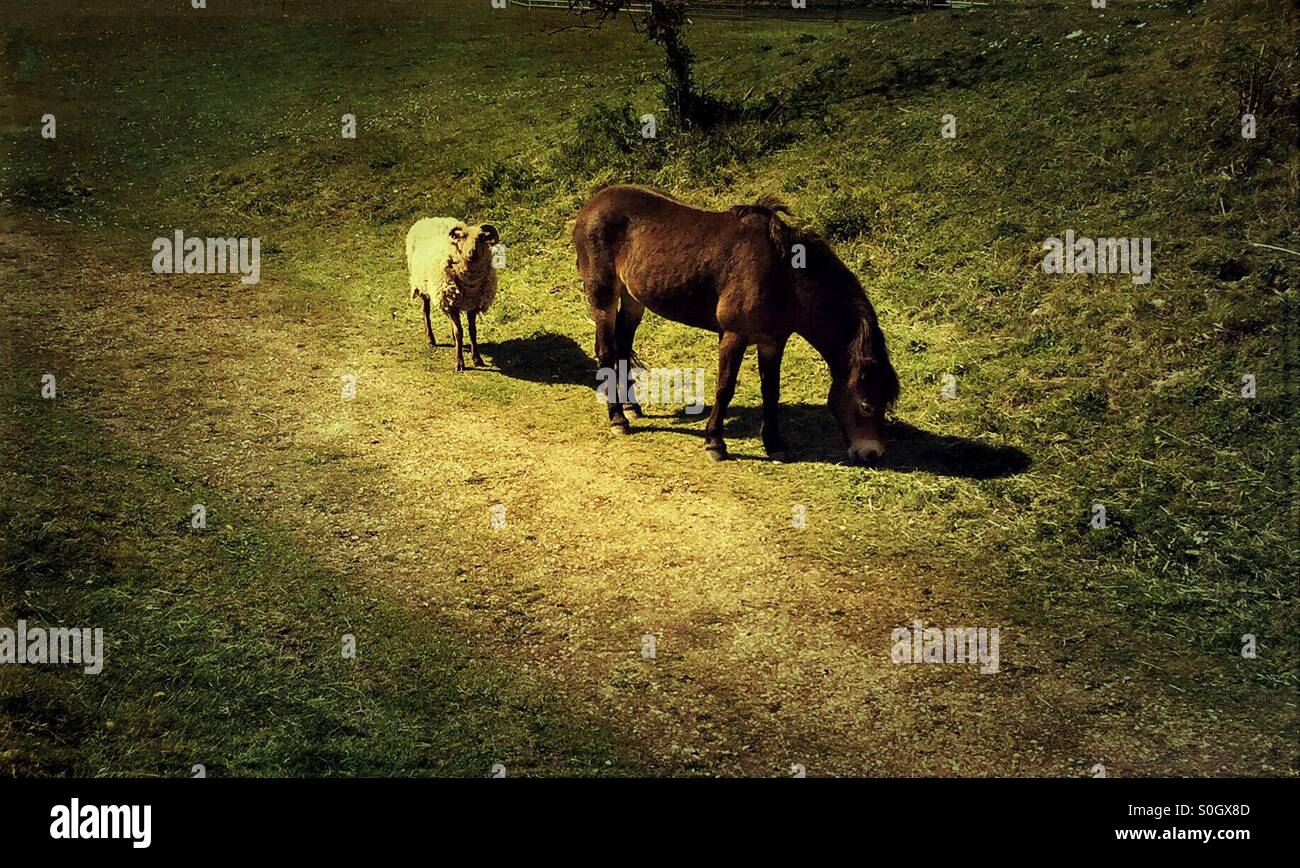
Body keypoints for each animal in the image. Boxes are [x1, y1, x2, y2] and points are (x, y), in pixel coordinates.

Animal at [405, 217, 500, 371]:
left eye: (481, 237)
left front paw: (477, 359)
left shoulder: (472, 304)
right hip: (424, 287)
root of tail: (432, 219)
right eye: (463, 237)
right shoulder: (452, 304)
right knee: (426, 311)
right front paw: (459, 362)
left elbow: (472, 331)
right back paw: (430, 339)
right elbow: (459, 332)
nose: (472, 252)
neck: (470, 283)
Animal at [573, 184, 899, 464]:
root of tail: (593, 204)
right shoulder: (734, 335)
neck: (784, 274)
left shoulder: (773, 341)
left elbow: (771, 391)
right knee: (607, 352)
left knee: (623, 347)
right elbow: (724, 387)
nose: (872, 454)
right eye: (867, 405)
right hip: (603, 297)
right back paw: (618, 418)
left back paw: (631, 406)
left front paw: (774, 443)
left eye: (886, 403)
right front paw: (715, 443)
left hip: (632, 299)